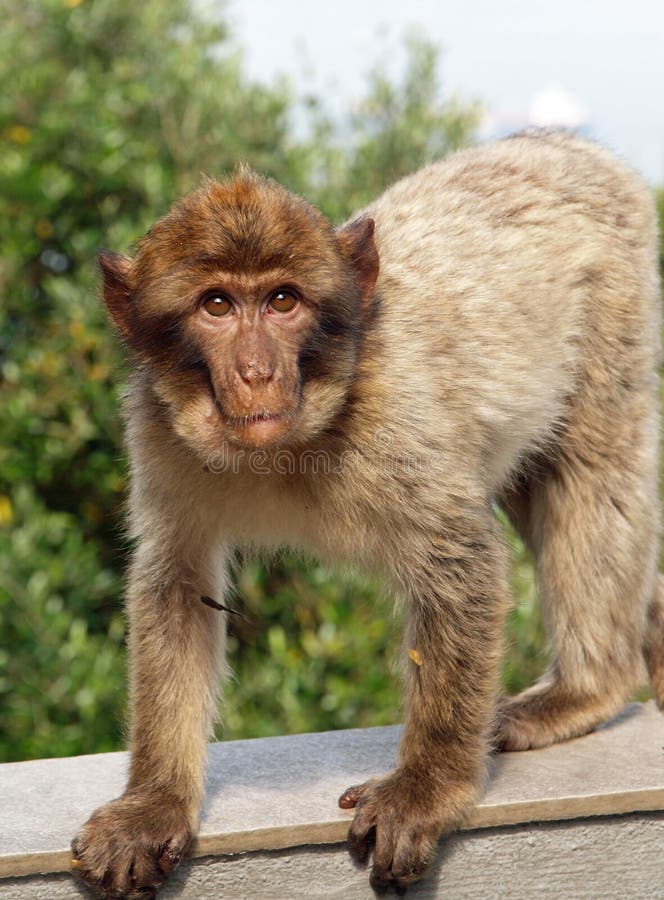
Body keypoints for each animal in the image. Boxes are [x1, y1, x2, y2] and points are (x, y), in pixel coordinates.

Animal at [71, 131, 664, 897]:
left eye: (283, 300)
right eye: (217, 305)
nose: (258, 372)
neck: (290, 447)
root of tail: (561, 142)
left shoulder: (397, 420)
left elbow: (461, 562)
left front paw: (424, 788)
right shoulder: (158, 431)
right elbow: (175, 583)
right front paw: (154, 802)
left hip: (616, 300)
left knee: (589, 466)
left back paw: (588, 688)